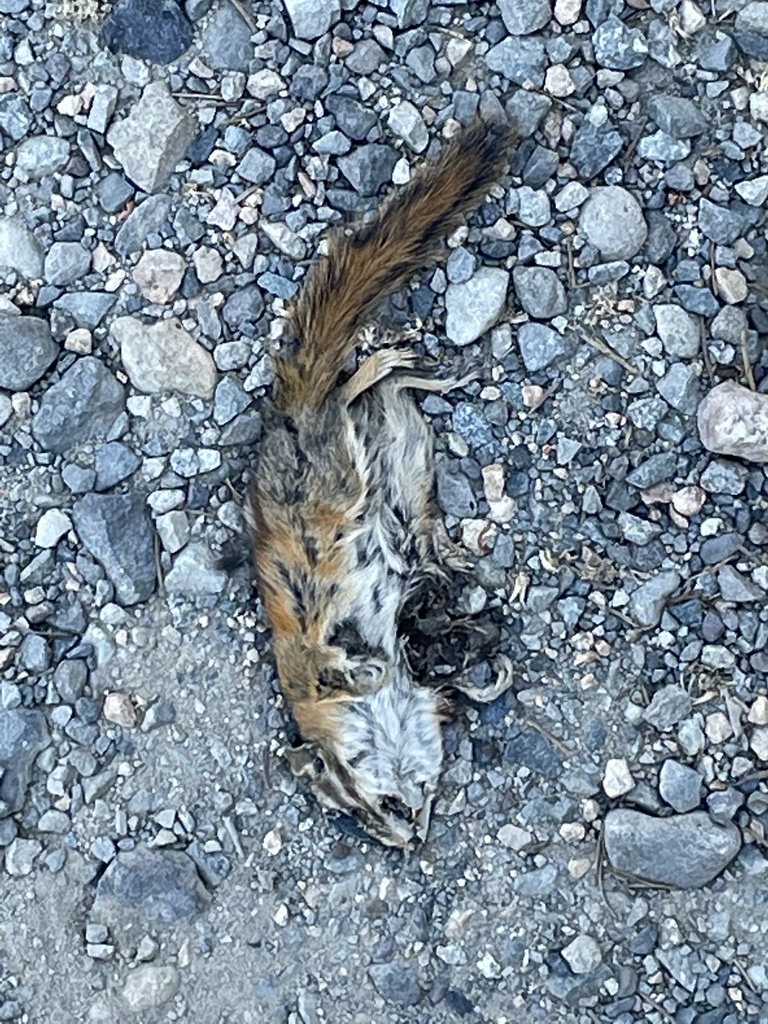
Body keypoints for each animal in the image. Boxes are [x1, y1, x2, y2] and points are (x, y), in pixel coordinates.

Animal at [248, 118, 517, 847]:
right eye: (364, 820)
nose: (412, 840)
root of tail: (292, 412)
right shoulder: (411, 685)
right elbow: (453, 687)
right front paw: (482, 674)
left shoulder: (324, 671)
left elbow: (342, 662)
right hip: (391, 459)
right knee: (379, 394)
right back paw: (419, 375)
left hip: (339, 471)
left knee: (349, 391)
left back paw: (392, 365)